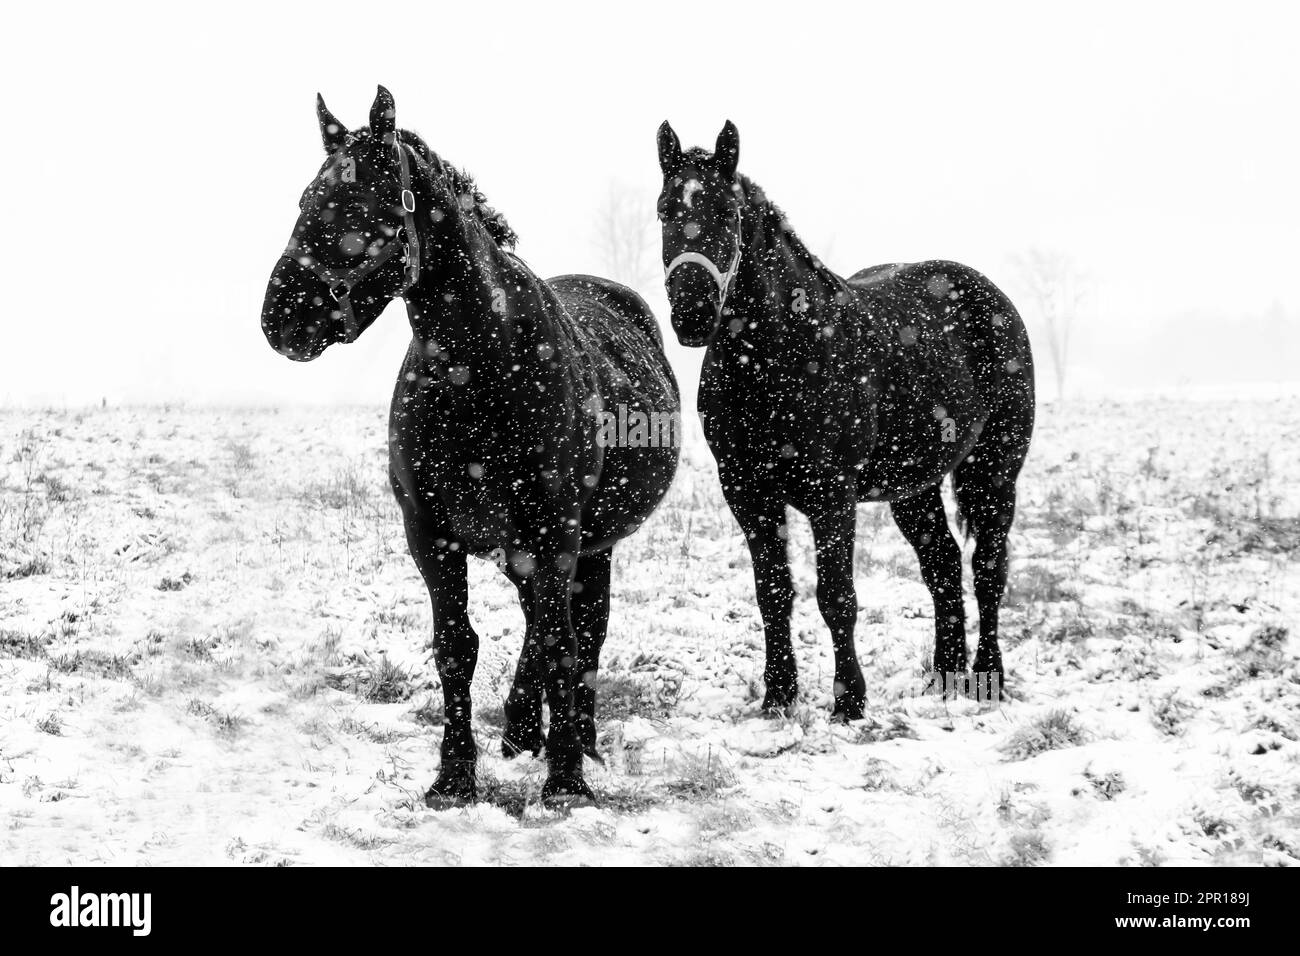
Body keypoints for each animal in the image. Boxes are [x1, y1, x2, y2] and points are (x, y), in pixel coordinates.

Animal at [261, 87, 680, 804]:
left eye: (360, 202)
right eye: (306, 199)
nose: (279, 317)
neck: (481, 369)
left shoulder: (554, 531)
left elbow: (560, 642)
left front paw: (564, 780)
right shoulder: (430, 532)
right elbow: (457, 644)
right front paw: (455, 775)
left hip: (587, 543)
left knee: (583, 633)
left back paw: (579, 743)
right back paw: (524, 734)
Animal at [655, 121, 1035, 716]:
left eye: (727, 212)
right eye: (664, 210)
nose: (691, 314)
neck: (776, 354)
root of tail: (991, 297)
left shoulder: (831, 494)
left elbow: (836, 597)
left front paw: (848, 702)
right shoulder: (747, 494)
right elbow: (773, 594)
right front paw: (778, 695)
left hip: (994, 471)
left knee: (988, 569)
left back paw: (986, 676)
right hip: (914, 486)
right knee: (943, 565)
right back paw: (945, 676)